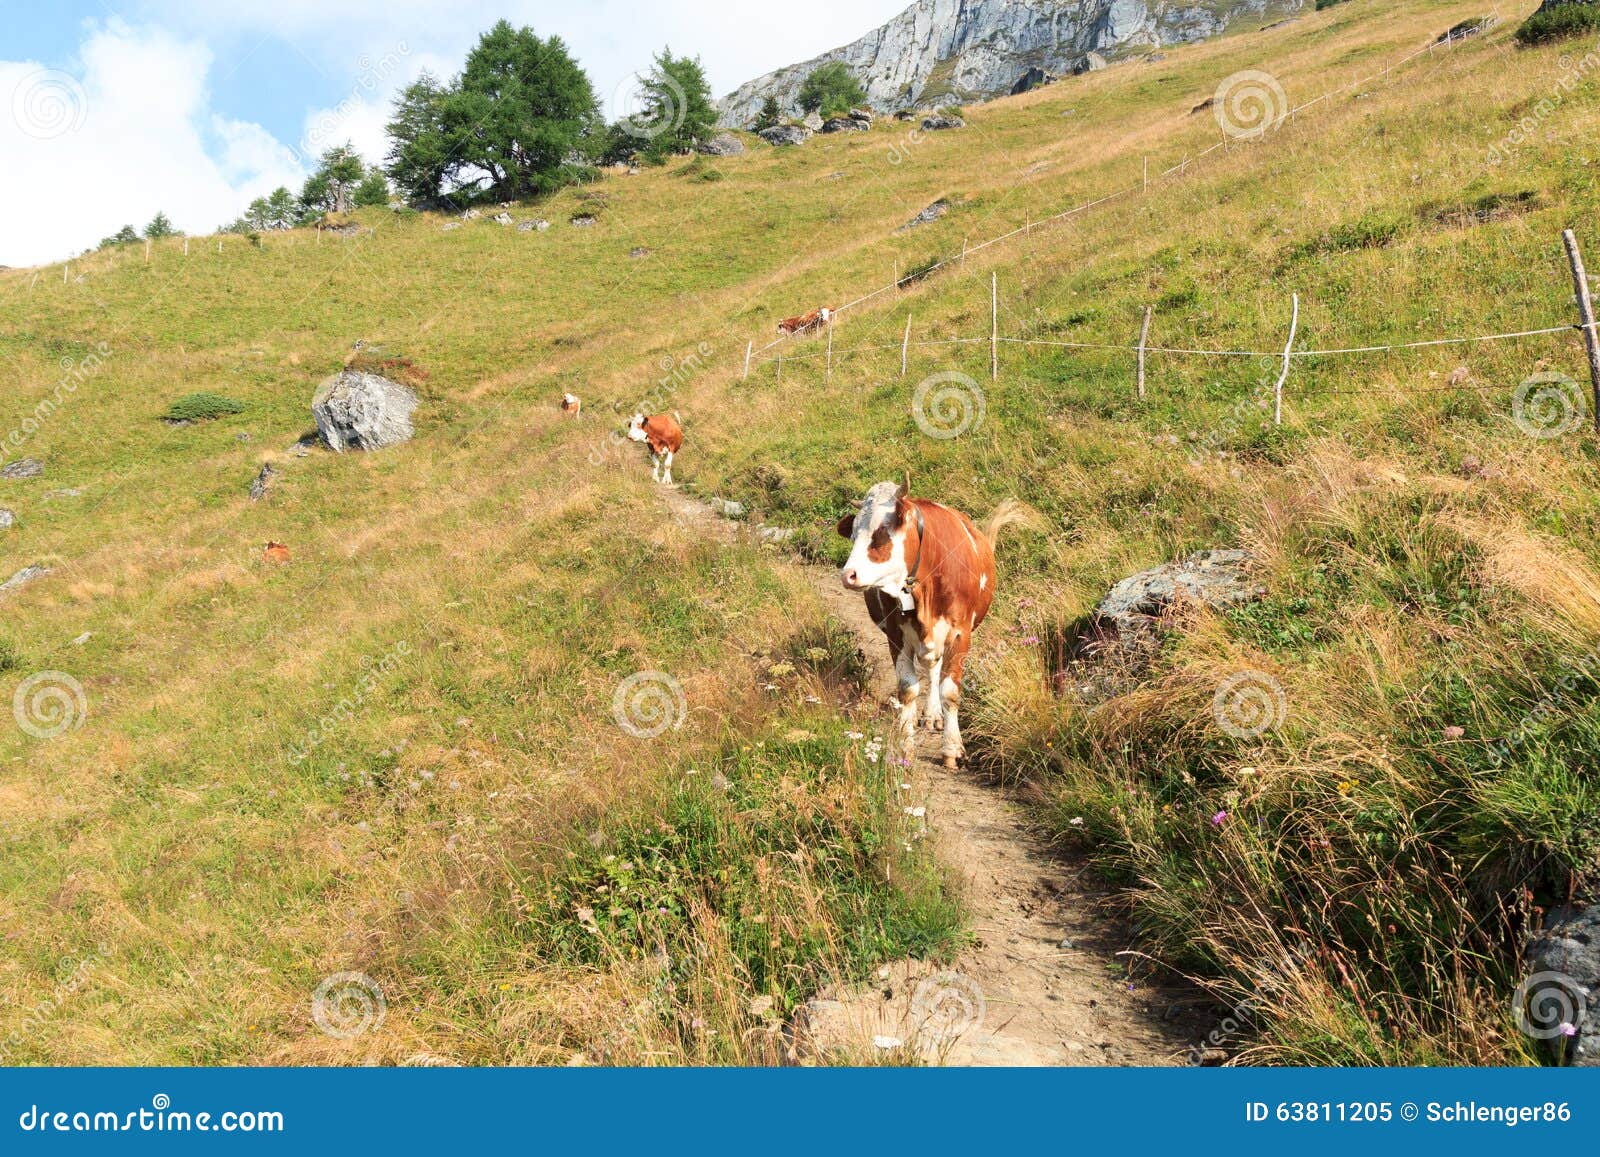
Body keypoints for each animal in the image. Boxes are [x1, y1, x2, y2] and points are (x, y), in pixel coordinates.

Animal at [837, 481, 1026, 769]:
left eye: (881, 532)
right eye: (853, 533)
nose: (848, 575)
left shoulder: (961, 634)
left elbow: (950, 691)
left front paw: (952, 748)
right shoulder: (896, 636)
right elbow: (907, 689)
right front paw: (905, 745)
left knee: (936, 670)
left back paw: (935, 715)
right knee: (930, 667)